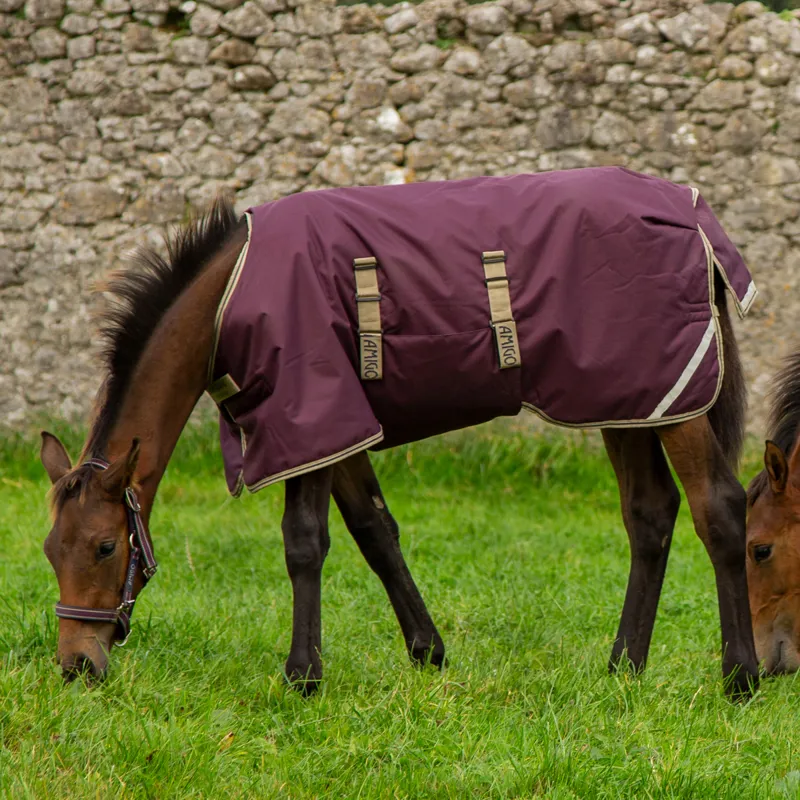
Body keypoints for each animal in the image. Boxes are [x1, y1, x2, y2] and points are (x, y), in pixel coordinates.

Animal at [40, 167, 760, 699]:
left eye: (105, 547)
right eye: (51, 550)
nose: (76, 665)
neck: (230, 295)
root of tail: (690, 212)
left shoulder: (310, 414)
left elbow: (305, 543)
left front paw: (303, 676)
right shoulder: (337, 428)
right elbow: (375, 532)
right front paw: (427, 652)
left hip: (675, 403)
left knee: (718, 509)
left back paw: (741, 677)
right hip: (631, 404)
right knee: (650, 515)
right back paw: (623, 668)